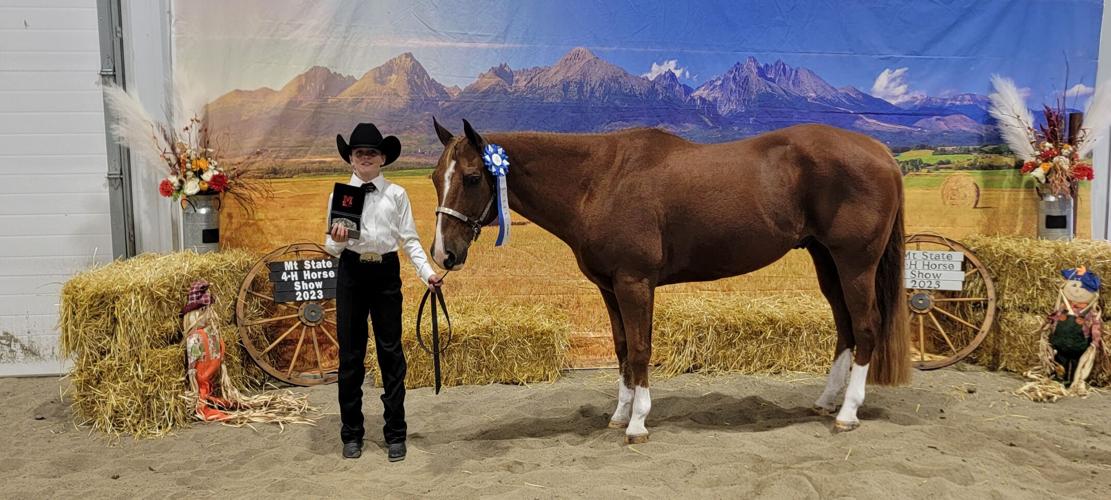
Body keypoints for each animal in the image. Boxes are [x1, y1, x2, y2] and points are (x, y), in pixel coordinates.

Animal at [429, 118, 910, 443]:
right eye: (436, 178)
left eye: (472, 177)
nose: (443, 254)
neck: (600, 181)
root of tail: (882, 152)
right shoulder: (609, 287)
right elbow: (623, 349)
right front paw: (620, 415)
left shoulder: (634, 282)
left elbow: (641, 349)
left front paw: (639, 423)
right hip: (825, 259)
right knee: (845, 327)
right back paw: (827, 402)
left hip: (855, 262)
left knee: (866, 327)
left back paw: (847, 414)